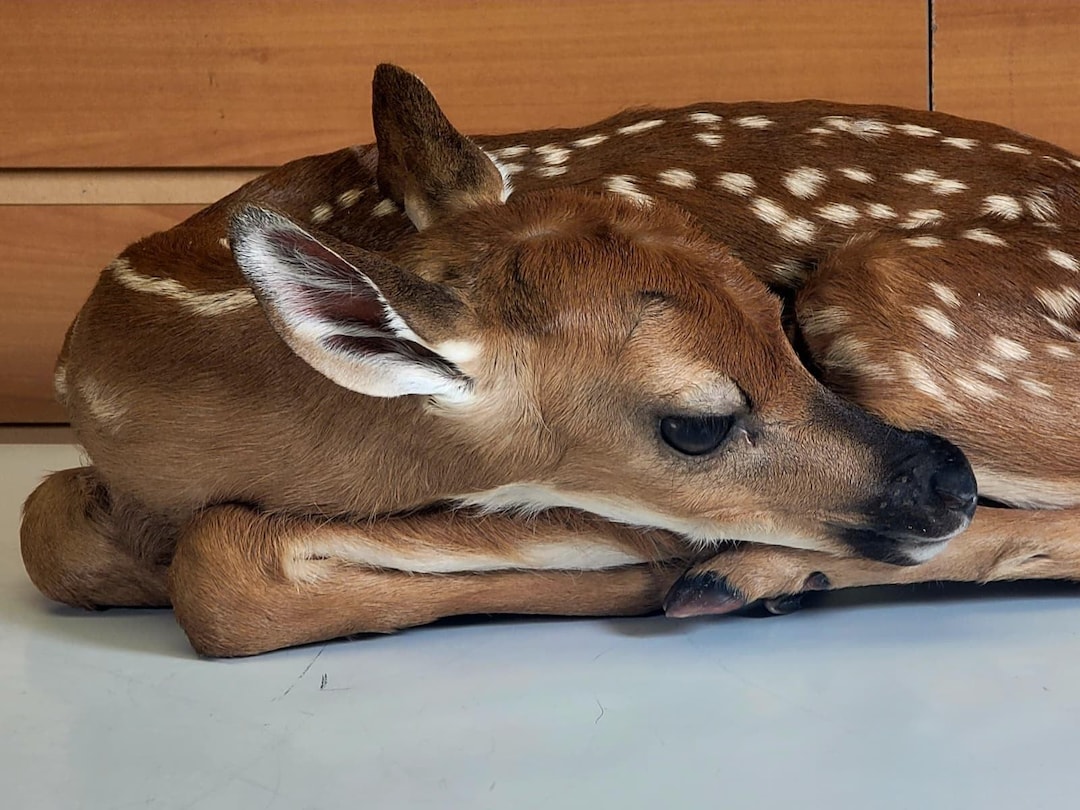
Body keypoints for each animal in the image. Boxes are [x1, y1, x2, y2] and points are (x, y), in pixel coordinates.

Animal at [20, 64, 1079, 657]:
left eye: (774, 309)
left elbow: (220, 568)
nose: (948, 479)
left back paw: (748, 578)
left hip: (895, 306)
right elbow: (46, 527)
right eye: (695, 425)